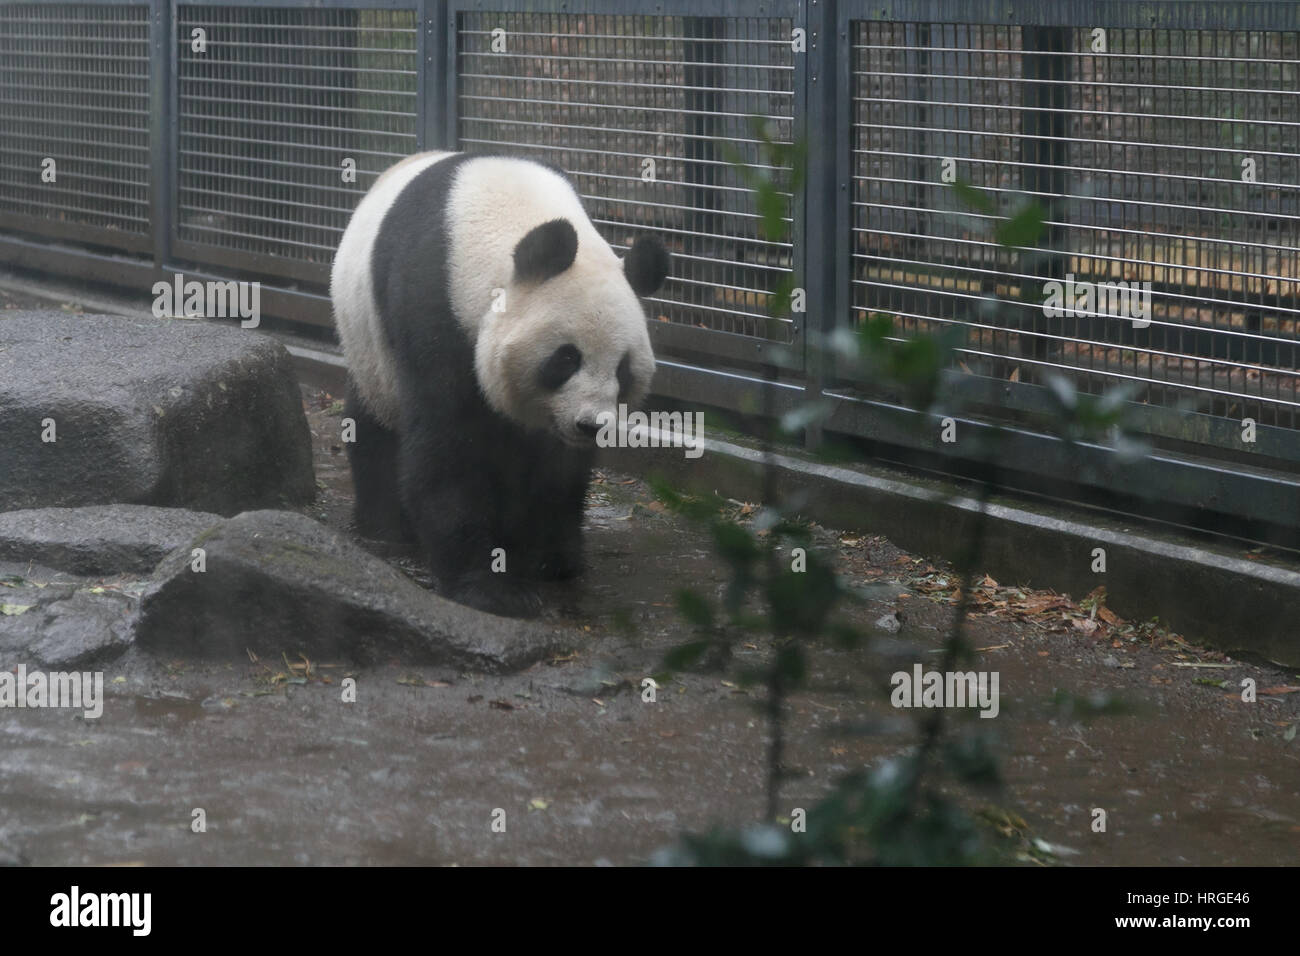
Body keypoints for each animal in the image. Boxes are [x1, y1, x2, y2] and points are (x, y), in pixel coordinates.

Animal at [330, 151, 670, 617]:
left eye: (623, 368)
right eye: (567, 358)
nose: (591, 425)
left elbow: (558, 467)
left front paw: (553, 557)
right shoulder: (434, 310)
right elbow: (448, 447)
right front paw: (491, 588)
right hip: (368, 346)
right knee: (372, 424)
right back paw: (384, 526)